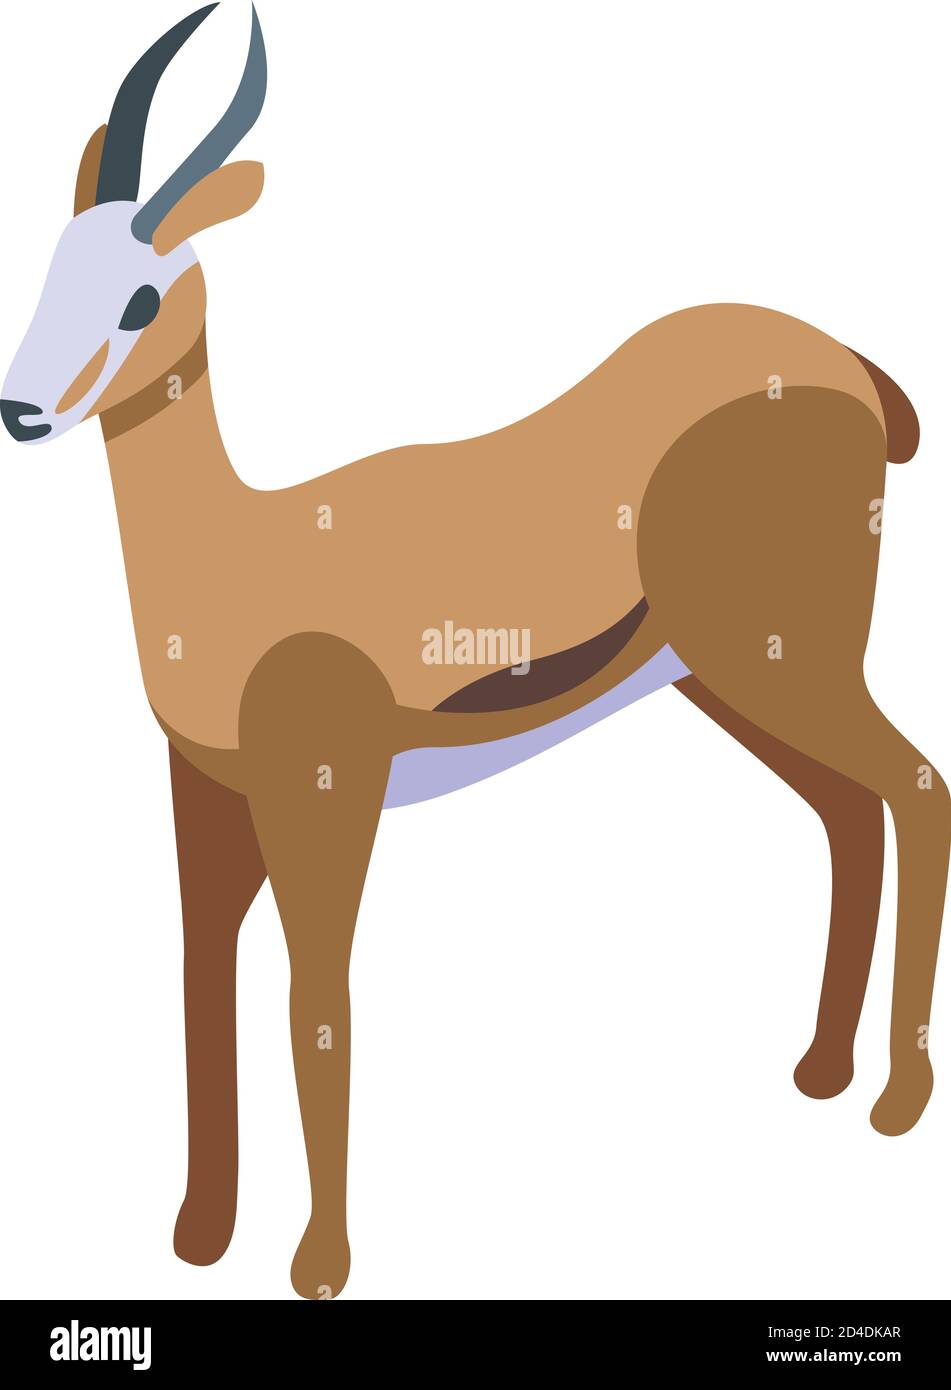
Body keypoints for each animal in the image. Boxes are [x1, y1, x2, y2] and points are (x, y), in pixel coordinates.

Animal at [2, 2, 948, 1301]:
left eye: (142, 298)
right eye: (48, 266)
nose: (21, 412)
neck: (242, 558)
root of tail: (856, 368)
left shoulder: (327, 794)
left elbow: (319, 1002)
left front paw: (319, 1266)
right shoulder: (204, 791)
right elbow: (200, 982)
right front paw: (197, 1237)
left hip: (785, 662)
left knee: (917, 787)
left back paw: (897, 1105)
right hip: (727, 679)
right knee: (851, 814)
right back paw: (818, 1074)